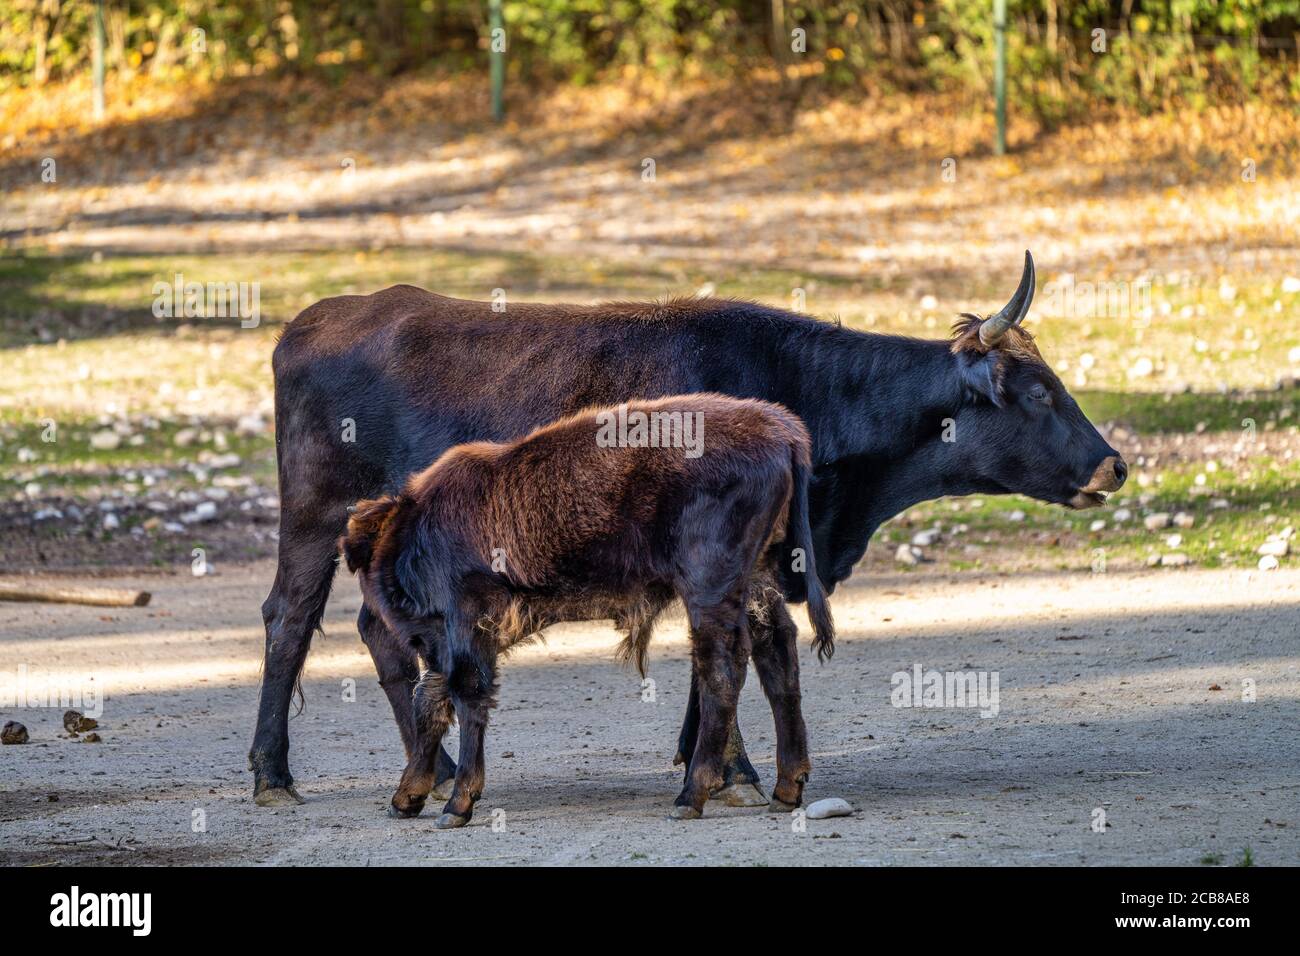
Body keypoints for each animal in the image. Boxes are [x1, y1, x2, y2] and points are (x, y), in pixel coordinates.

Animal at [339, 394, 835, 825]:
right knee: (777, 656)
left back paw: (690, 797)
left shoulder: (465, 625)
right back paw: (786, 788)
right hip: (756, 581)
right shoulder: (449, 643)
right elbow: (431, 702)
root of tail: (783, 431)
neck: (420, 525)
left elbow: (463, 696)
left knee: (722, 672)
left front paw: (456, 805)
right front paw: (406, 798)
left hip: (710, 591)